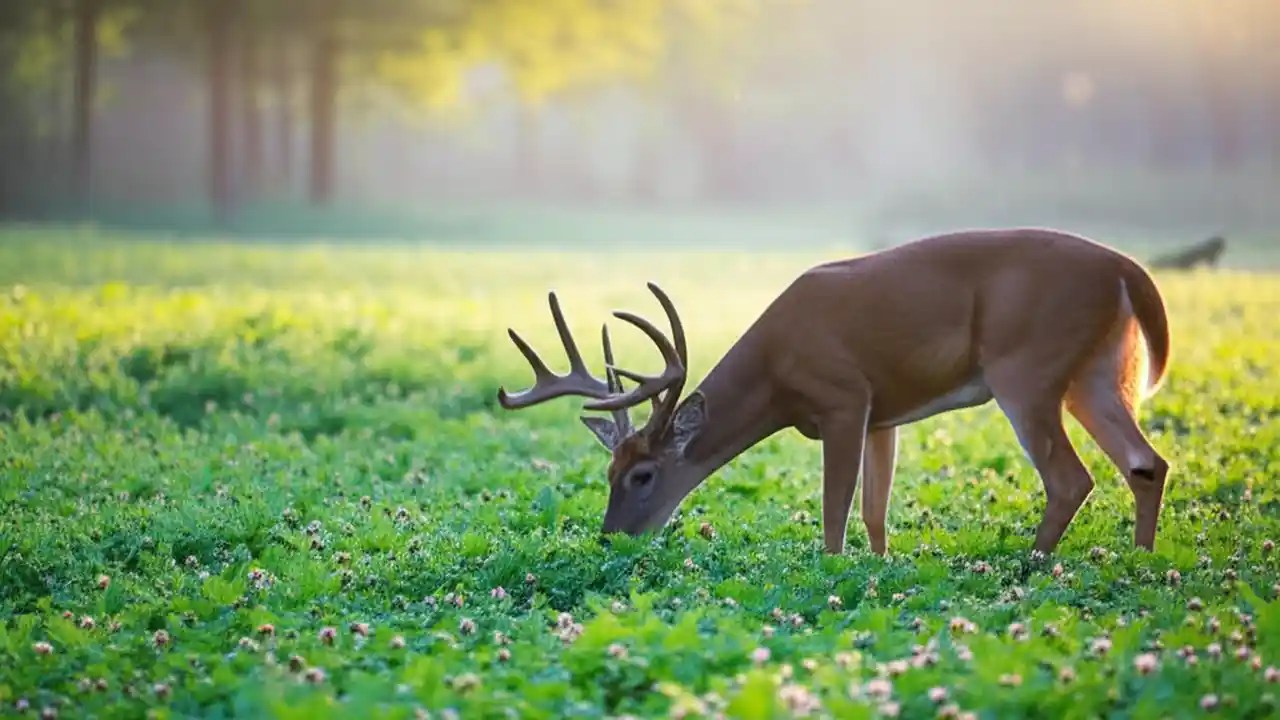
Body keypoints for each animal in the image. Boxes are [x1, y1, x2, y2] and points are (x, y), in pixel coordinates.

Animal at [496, 228, 1172, 557]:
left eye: (642, 476)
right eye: (608, 473)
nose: (611, 537)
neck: (776, 374)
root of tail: (1127, 270)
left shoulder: (844, 398)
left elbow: (835, 508)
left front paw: (834, 570)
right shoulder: (884, 414)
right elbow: (874, 510)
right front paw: (880, 566)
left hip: (1027, 368)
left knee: (1071, 477)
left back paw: (1032, 566)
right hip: (1096, 371)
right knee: (1147, 463)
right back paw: (1139, 563)